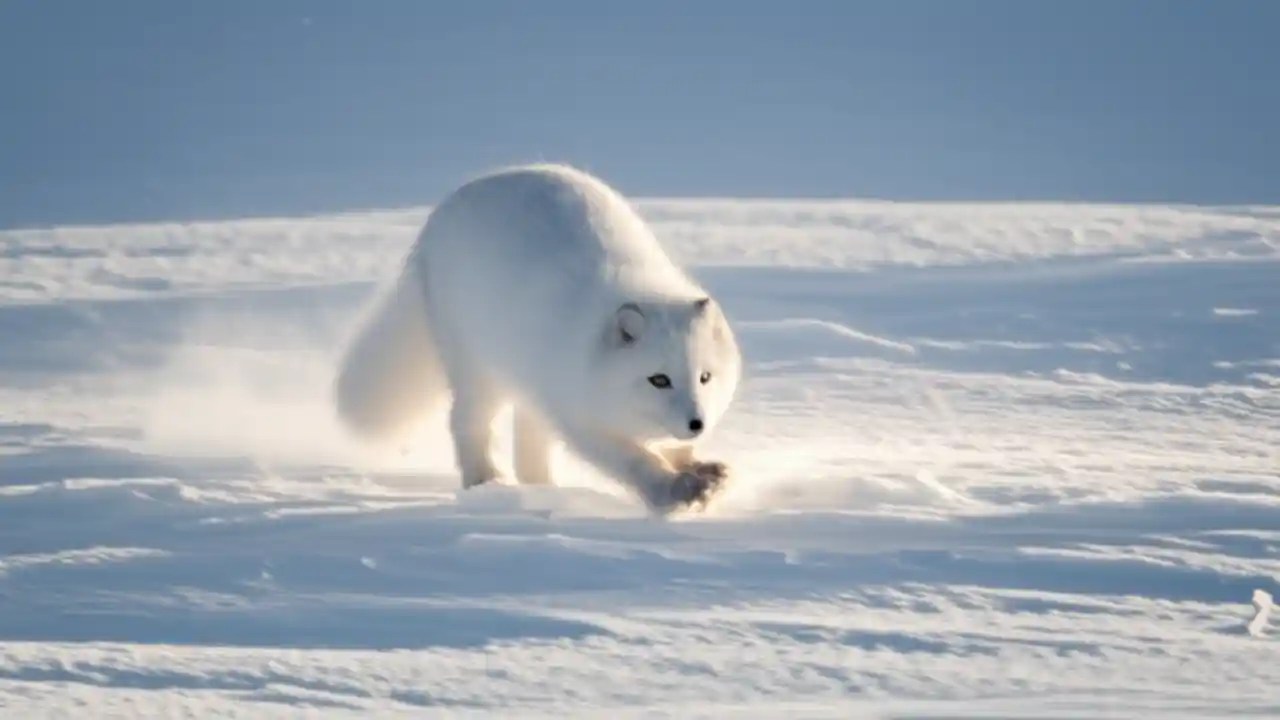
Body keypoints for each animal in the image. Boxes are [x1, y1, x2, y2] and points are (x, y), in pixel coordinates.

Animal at [334, 164, 741, 514]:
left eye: (705, 377)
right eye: (659, 379)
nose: (697, 423)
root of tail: (437, 216)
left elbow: (666, 447)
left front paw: (700, 470)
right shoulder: (579, 416)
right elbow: (635, 460)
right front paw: (674, 491)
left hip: (528, 380)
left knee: (526, 439)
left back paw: (542, 488)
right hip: (480, 367)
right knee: (466, 421)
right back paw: (486, 482)